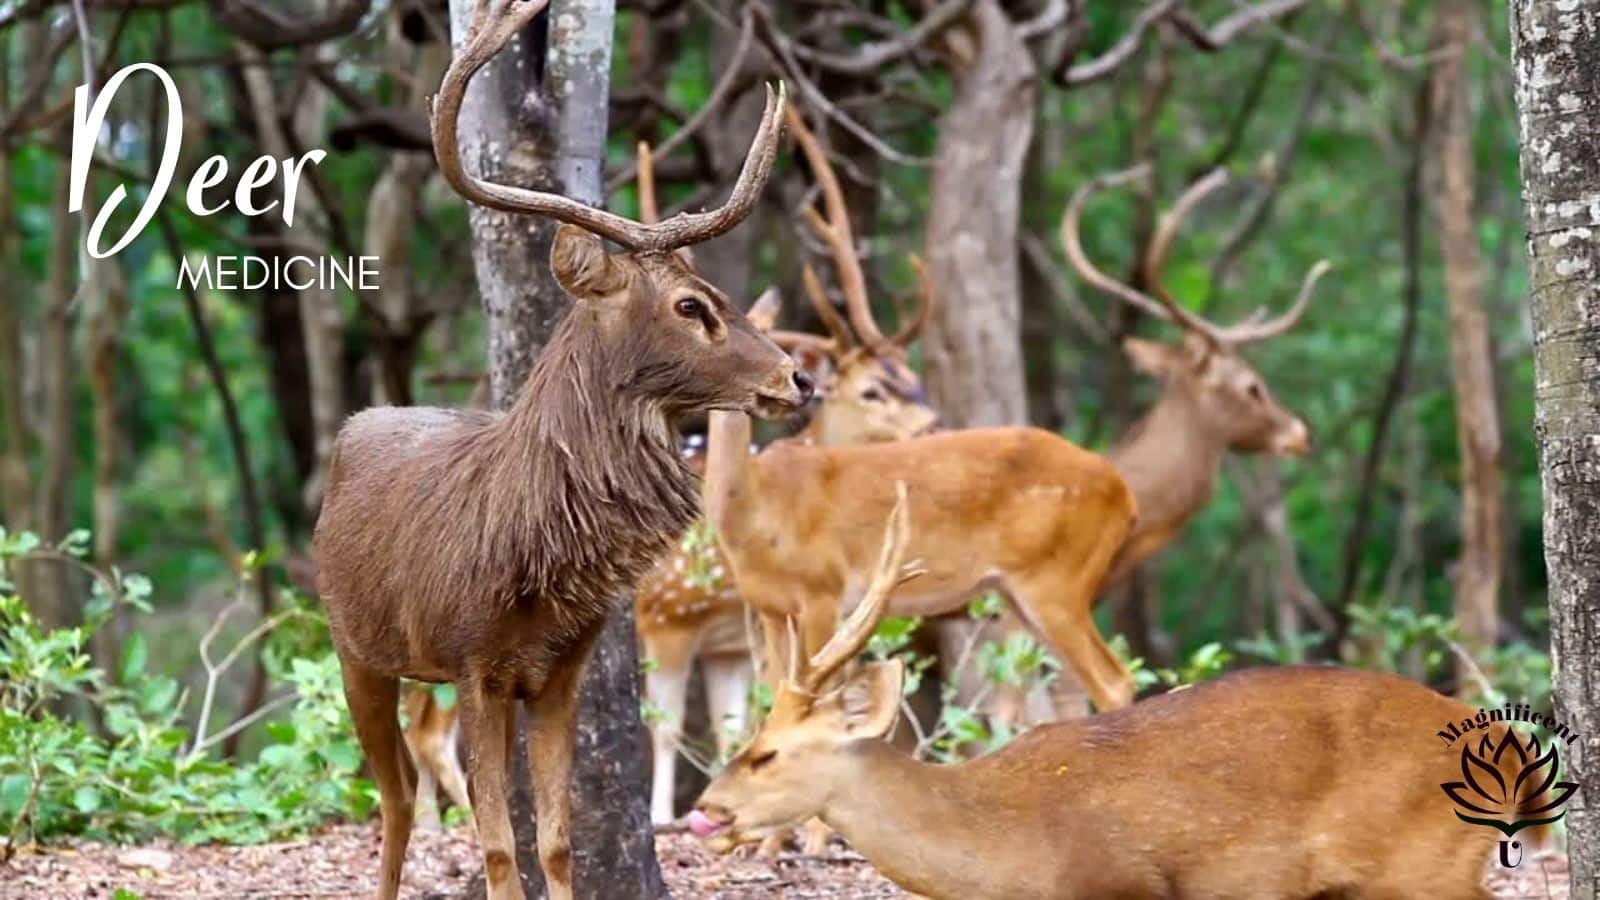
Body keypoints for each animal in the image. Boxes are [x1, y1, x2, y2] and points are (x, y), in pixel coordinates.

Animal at [310, 2, 804, 897]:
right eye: (691, 305)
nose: (796, 377)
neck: (532, 550)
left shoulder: (560, 670)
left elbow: (557, 841)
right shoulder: (472, 661)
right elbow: (499, 845)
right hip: (351, 641)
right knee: (396, 798)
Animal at [689, 494, 1521, 900]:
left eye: (766, 753)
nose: (703, 811)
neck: (1011, 859)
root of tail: (1513, 741)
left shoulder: (1125, 881)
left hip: (1423, 868)